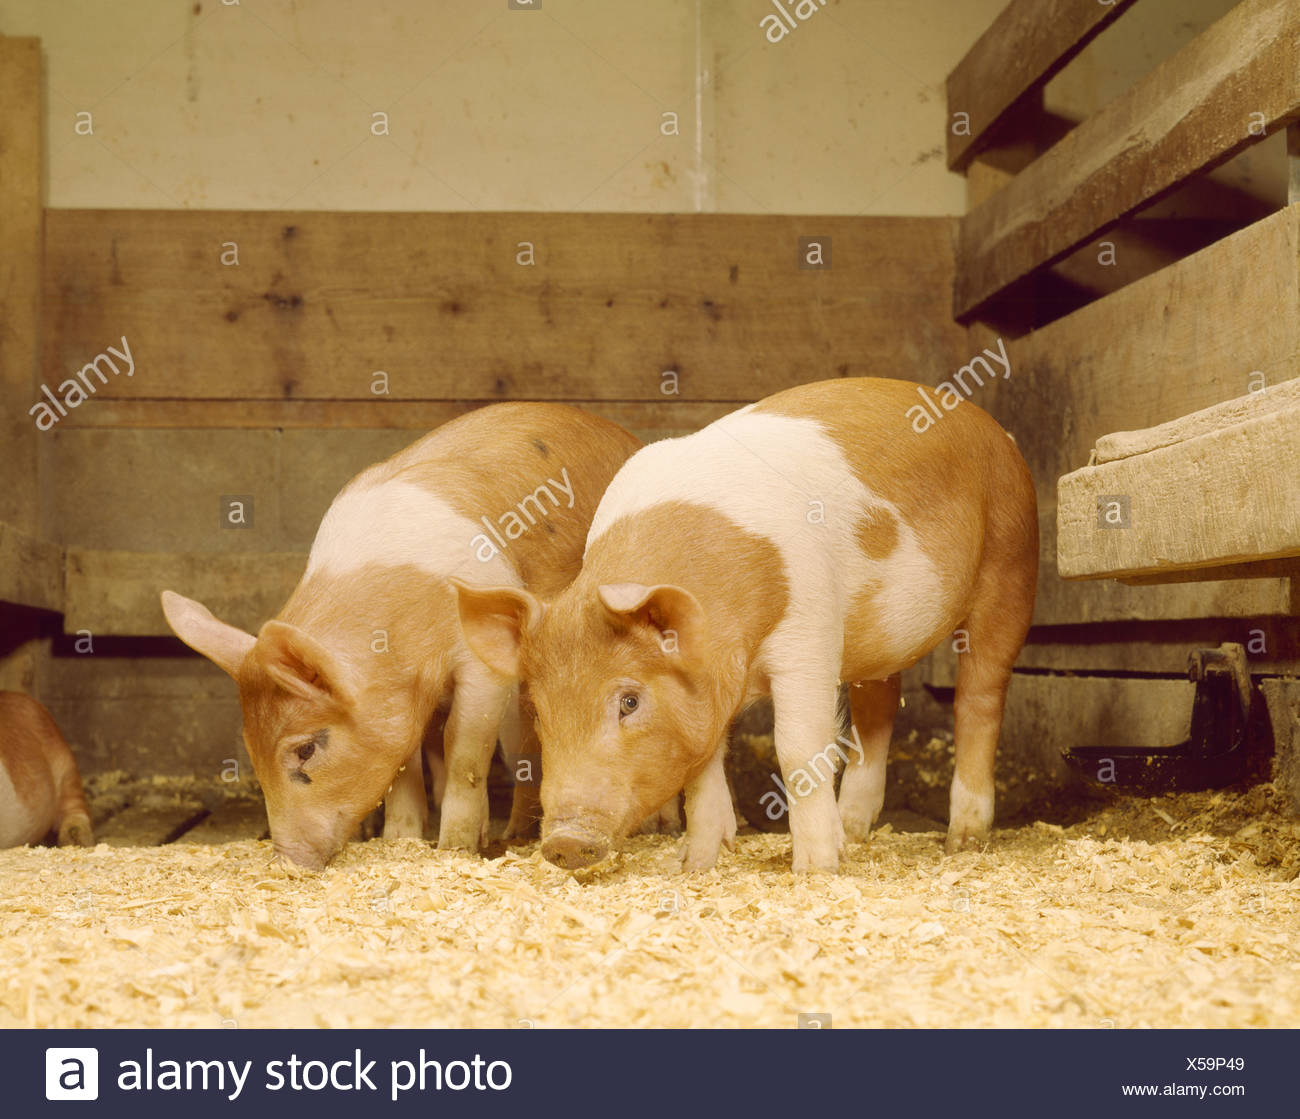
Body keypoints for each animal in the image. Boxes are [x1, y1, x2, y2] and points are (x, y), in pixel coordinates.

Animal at [161, 403, 641, 870]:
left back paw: (515, 834)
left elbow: (464, 749)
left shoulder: (482, 663)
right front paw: (401, 840)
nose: (286, 862)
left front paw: (455, 849)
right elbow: (404, 765)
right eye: (250, 749)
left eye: (306, 750)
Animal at [454, 378, 1037, 873]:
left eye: (630, 701)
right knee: (877, 707)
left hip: (1009, 563)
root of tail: (994, 428)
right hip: (878, 637)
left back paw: (963, 841)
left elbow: (799, 747)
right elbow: (702, 769)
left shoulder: (809, 634)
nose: (565, 843)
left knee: (980, 697)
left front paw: (816, 870)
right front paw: (696, 866)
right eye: (538, 709)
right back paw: (856, 829)